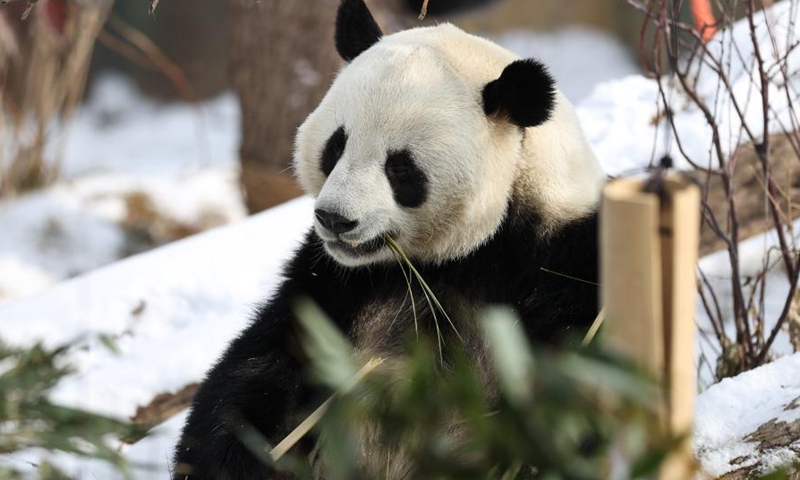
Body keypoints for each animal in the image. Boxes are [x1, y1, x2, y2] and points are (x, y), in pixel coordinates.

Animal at [173, 0, 605, 478]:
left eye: (400, 167)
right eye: (336, 146)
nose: (334, 219)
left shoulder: (562, 269)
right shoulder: (334, 284)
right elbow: (260, 374)